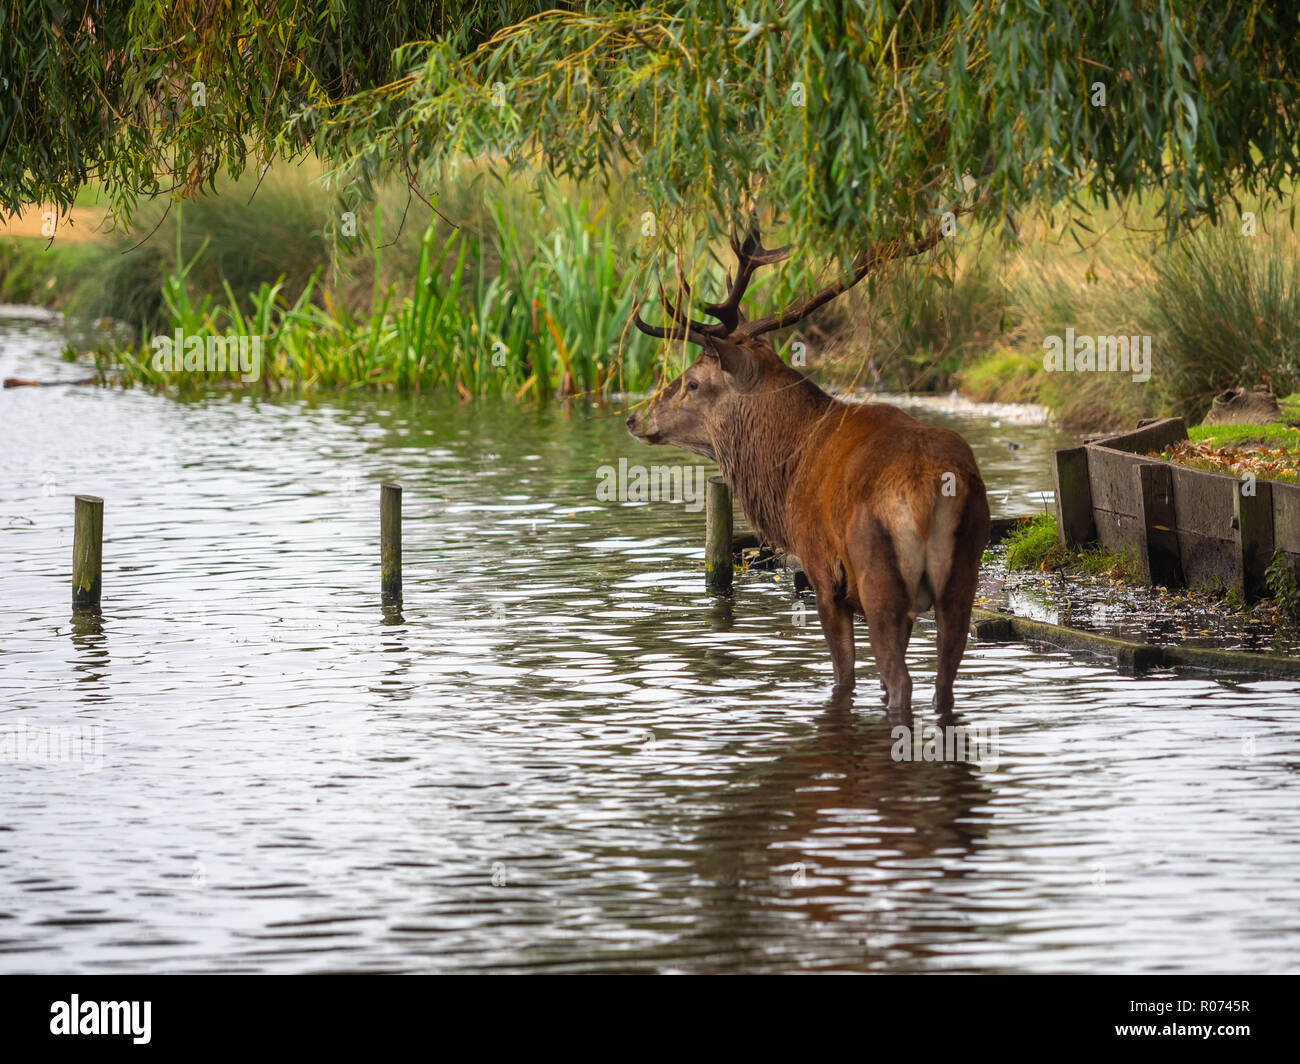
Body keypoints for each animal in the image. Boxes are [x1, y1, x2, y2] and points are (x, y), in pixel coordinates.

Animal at [625, 224, 991, 715]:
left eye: (694, 382)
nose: (634, 418)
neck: (789, 465)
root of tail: (930, 489)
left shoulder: (822, 573)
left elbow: (844, 677)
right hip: (966, 571)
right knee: (943, 684)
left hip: (878, 578)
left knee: (901, 682)